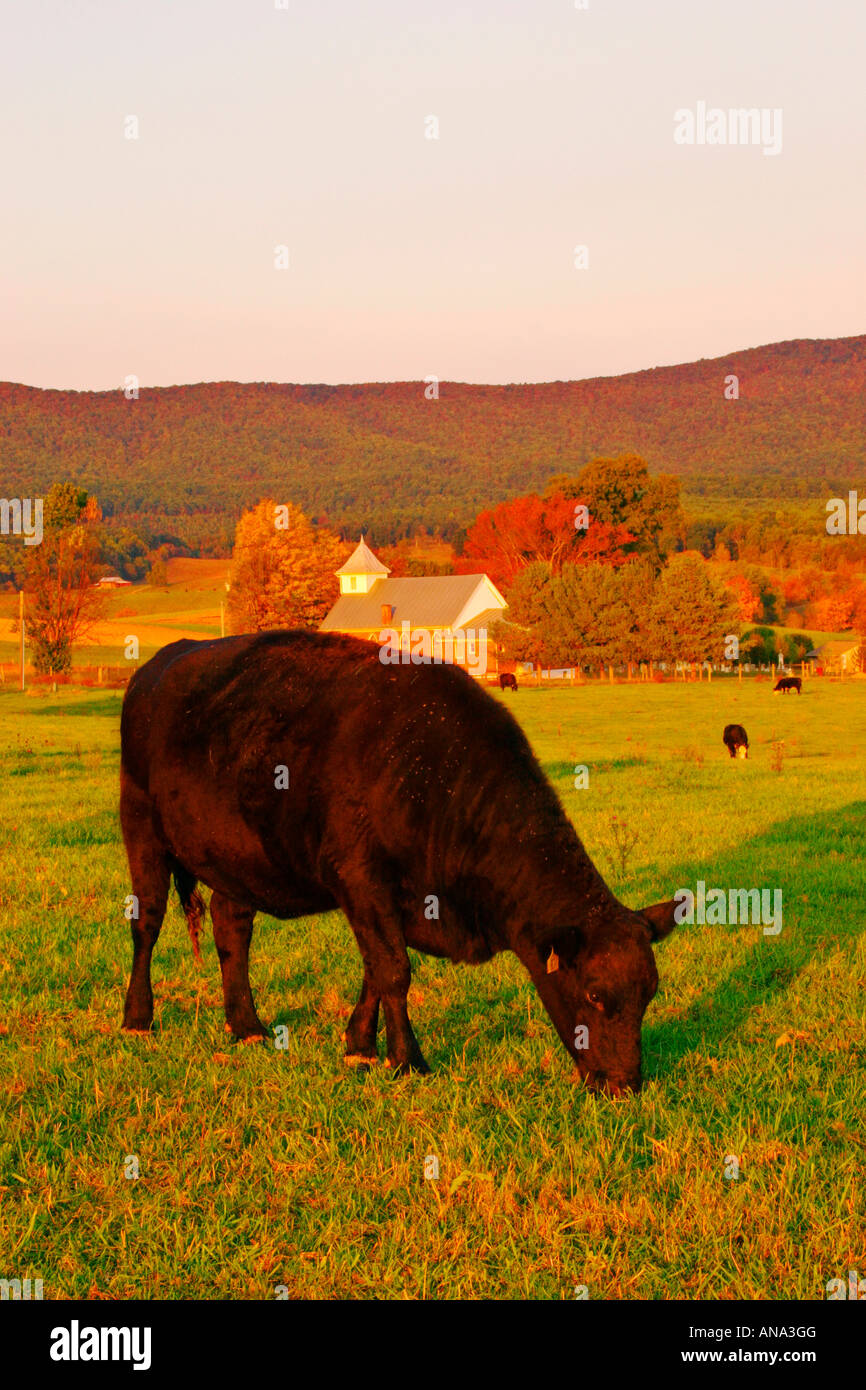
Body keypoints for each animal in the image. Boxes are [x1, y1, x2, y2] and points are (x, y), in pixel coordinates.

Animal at [120, 633, 678, 1096]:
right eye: (595, 996)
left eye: (649, 995)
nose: (626, 1084)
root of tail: (163, 660)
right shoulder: (361, 879)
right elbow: (394, 970)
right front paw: (408, 1060)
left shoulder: (392, 901)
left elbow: (377, 967)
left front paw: (360, 1046)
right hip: (140, 823)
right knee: (147, 923)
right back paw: (138, 1018)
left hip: (236, 856)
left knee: (231, 927)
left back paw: (247, 1026)